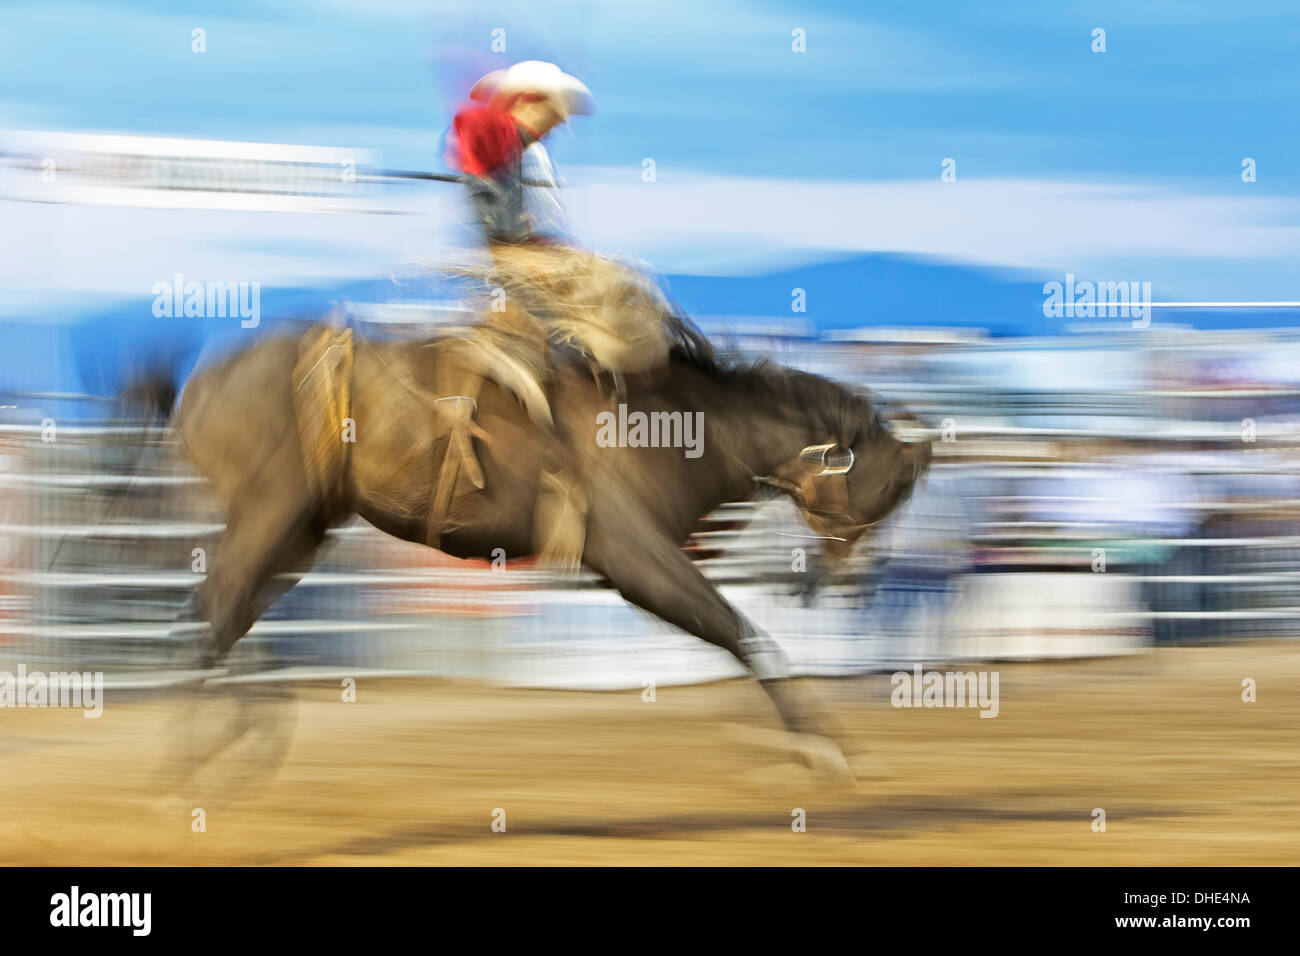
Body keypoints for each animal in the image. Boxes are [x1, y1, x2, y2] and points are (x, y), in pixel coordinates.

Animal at [136, 317, 931, 782]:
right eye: (886, 496)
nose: (854, 586)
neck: (673, 424)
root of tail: (197, 383)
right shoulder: (636, 559)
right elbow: (741, 631)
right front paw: (822, 749)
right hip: (271, 513)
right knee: (216, 607)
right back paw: (192, 767)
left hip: (302, 527)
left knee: (223, 615)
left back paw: (245, 734)